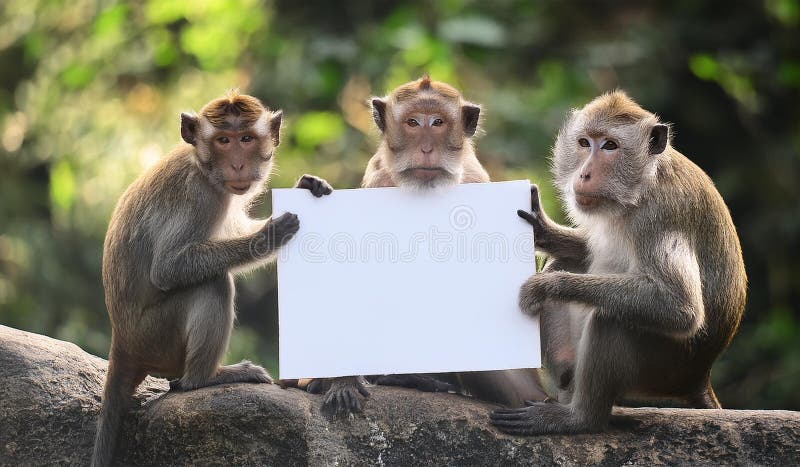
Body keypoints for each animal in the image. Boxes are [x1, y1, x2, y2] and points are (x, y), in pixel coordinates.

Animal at [91, 91, 332, 466]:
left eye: (245, 138)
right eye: (223, 141)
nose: (237, 166)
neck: (205, 169)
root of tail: (122, 340)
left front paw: (306, 185)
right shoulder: (199, 195)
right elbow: (168, 268)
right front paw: (267, 235)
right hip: (156, 335)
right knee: (212, 284)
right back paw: (205, 378)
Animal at [304, 76, 547, 418]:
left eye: (438, 123)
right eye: (413, 122)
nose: (427, 148)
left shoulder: (475, 181)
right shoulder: (378, 181)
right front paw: (343, 381)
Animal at [491, 90, 747, 435]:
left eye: (610, 146)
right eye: (584, 143)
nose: (584, 174)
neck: (642, 184)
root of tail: (698, 377)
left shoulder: (659, 216)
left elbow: (679, 307)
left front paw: (547, 287)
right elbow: (585, 250)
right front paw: (542, 230)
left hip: (660, 367)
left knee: (610, 320)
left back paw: (580, 419)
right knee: (569, 263)